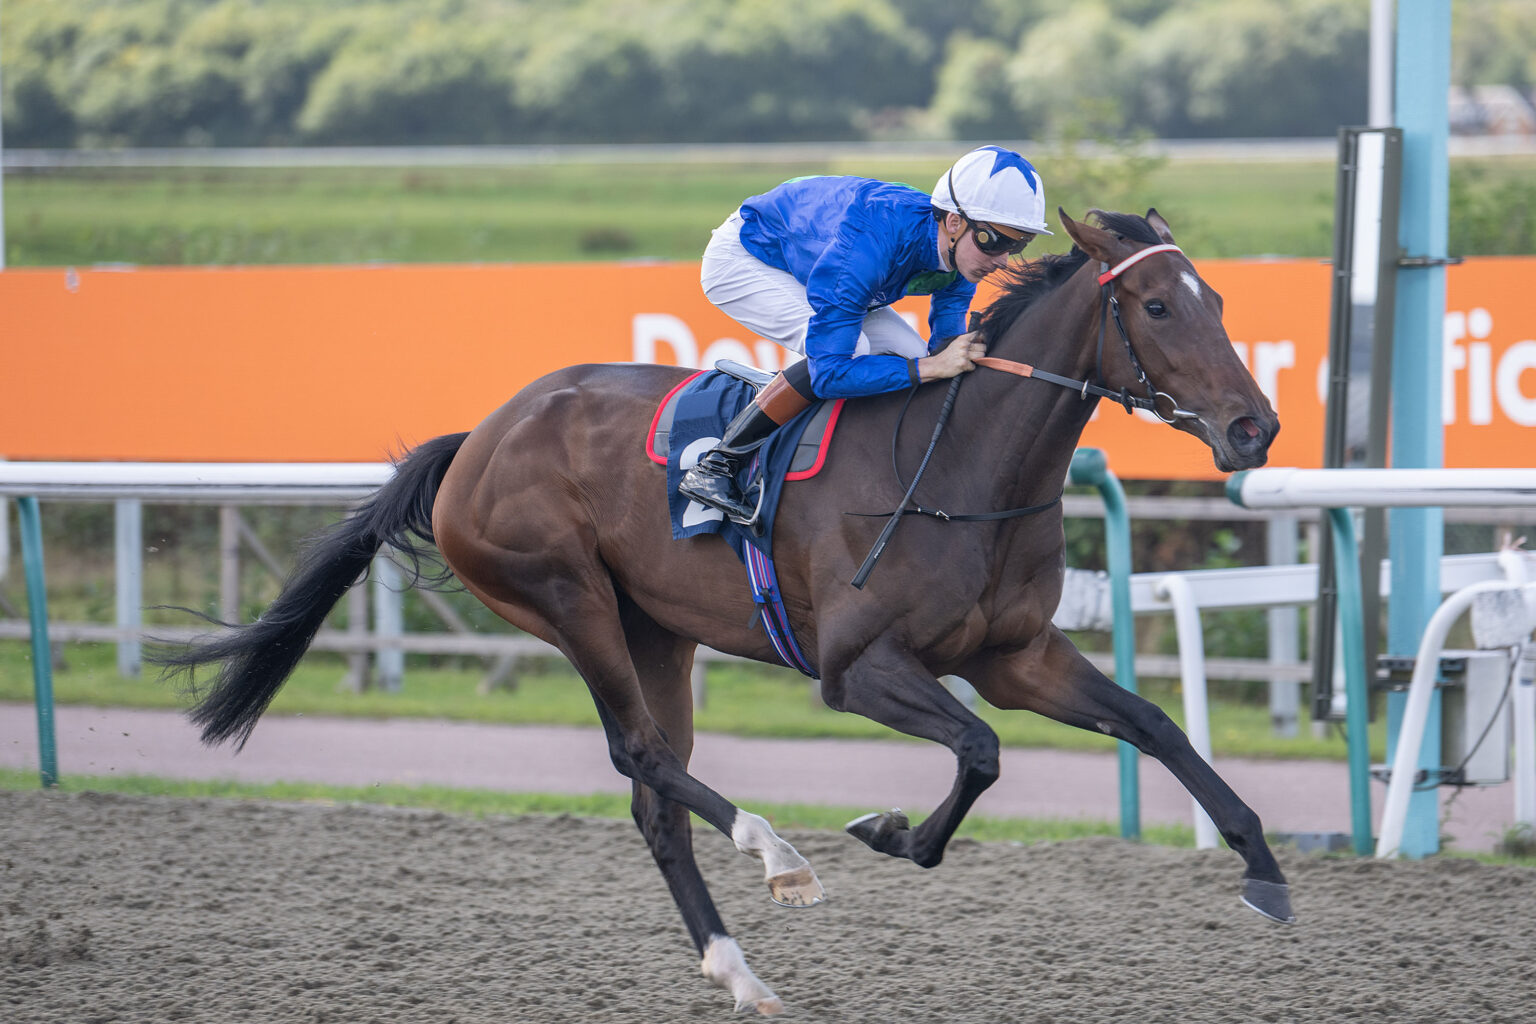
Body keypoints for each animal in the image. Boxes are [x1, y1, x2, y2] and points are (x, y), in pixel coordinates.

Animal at [159, 208, 1289, 1016]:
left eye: (1216, 297)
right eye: (1157, 308)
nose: (1255, 427)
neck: (961, 464)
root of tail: (477, 437)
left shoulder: (1017, 654)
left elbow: (1151, 723)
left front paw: (1267, 872)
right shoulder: (857, 668)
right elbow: (980, 749)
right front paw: (887, 832)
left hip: (657, 631)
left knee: (653, 798)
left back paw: (738, 970)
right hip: (567, 598)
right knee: (644, 757)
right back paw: (775, 854)